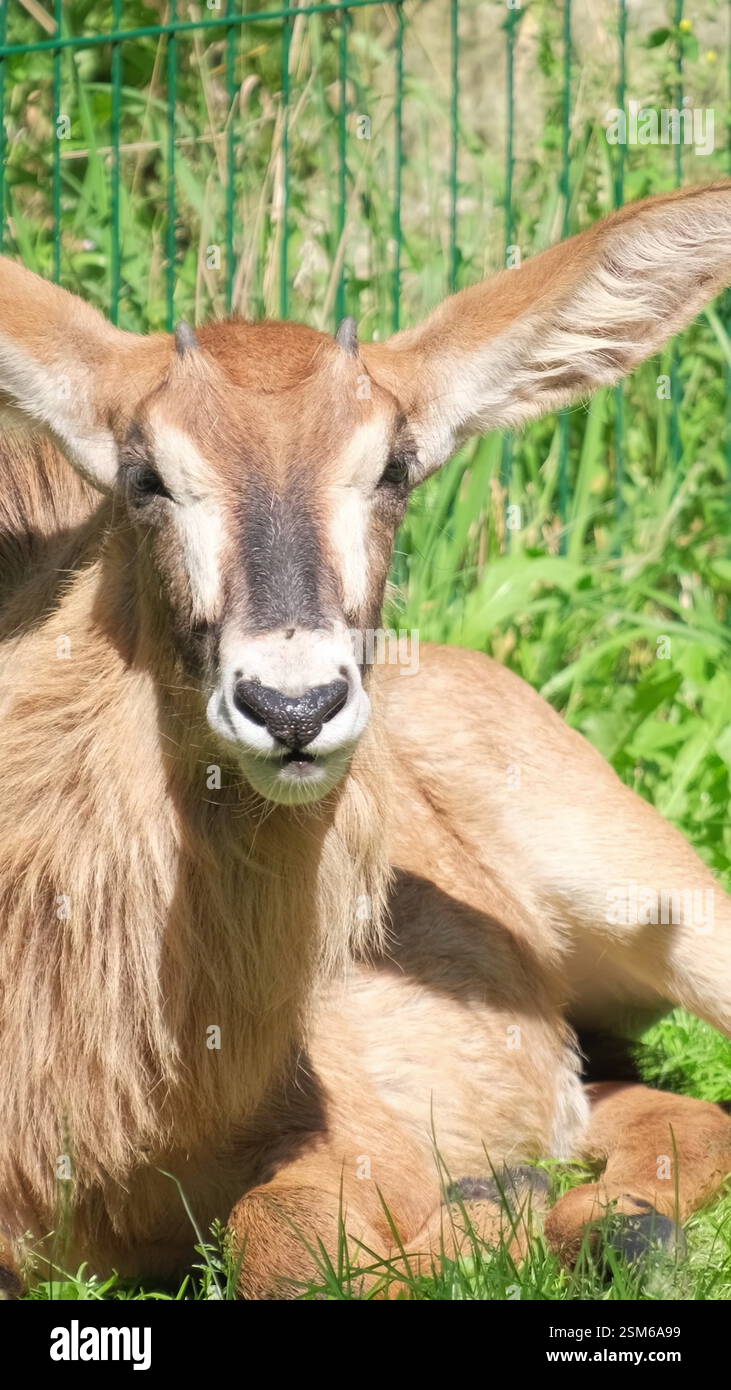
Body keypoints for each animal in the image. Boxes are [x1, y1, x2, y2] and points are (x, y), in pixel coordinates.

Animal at [0, 182, 730, 1300]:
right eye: (146, 476)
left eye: (391, 466)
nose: (293, 708)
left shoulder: (352, 1135)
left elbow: (274, 1244)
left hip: (663, 907)